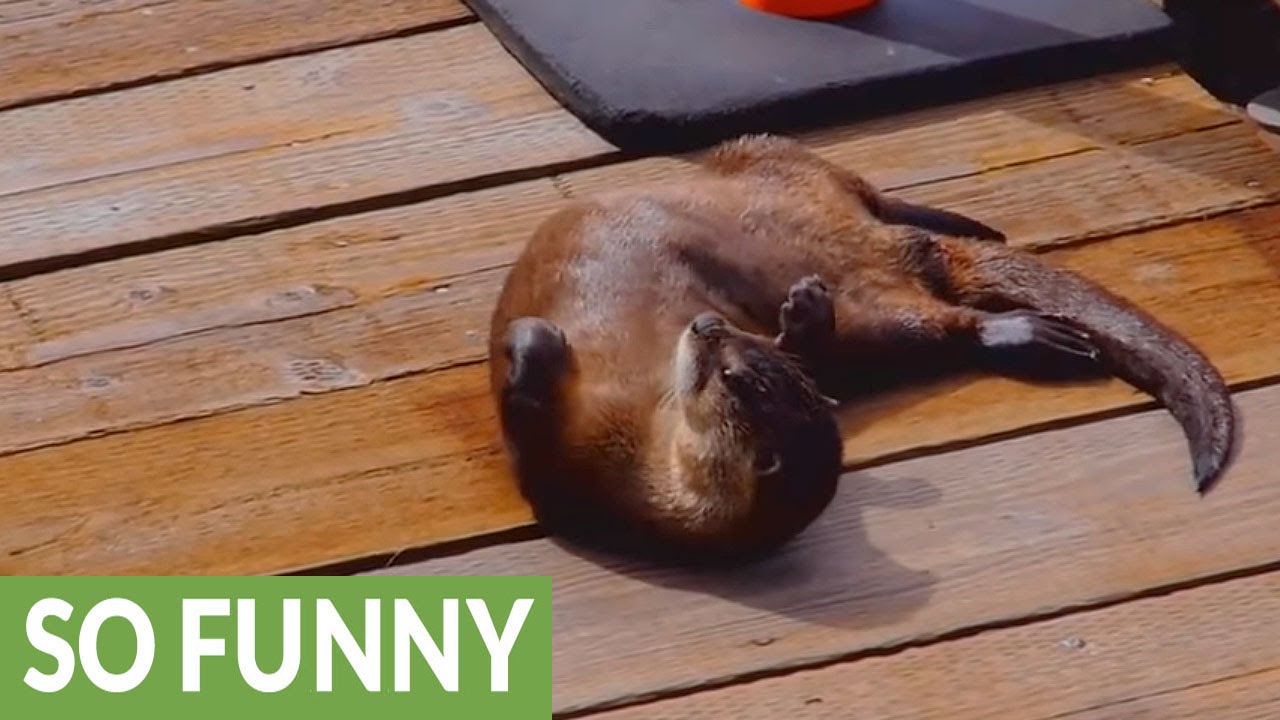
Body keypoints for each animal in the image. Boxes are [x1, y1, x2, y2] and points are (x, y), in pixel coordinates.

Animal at [488, 134, 1237, 562]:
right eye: (739, 349)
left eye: (733, 377)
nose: (704, 325)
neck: (638, 436)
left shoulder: (570, 457)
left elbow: (528, 399)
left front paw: (533, 340)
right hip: (761, 154)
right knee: (876, 201)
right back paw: (960, 229)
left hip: (865, 280)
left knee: (930, 312)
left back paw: (1022, 329)